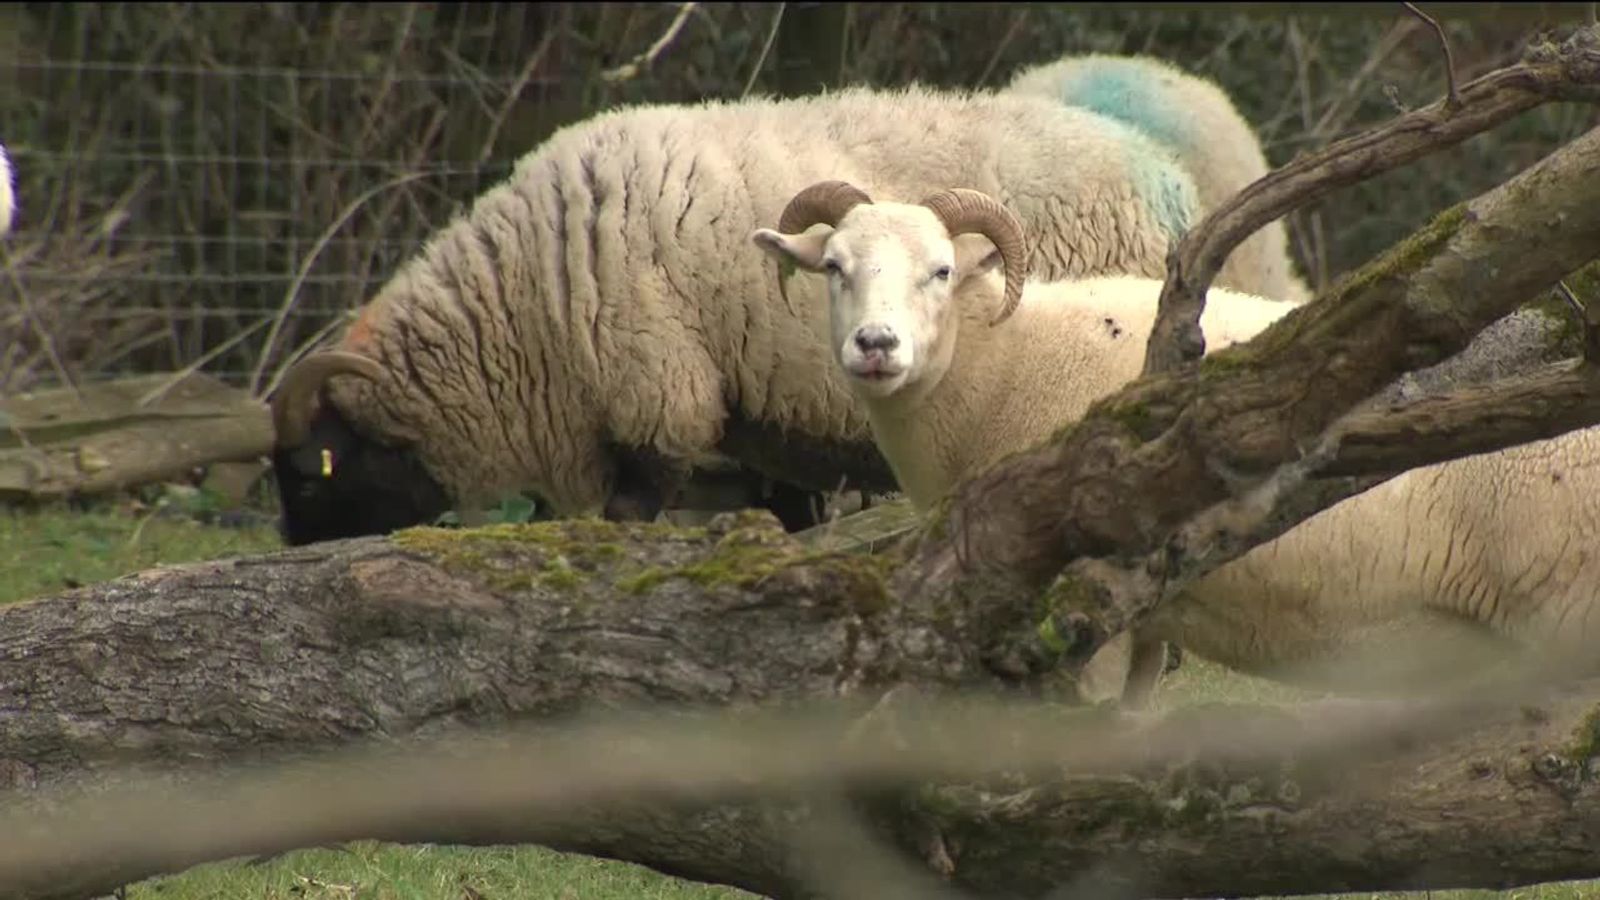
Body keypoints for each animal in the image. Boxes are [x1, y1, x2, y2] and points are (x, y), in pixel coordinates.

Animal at [271, 83, 1237, 546]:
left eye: (308, 475)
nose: (292, 558)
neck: (528, 299)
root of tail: (1168, 179)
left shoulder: (658, 401)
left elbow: (627, 520)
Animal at [750, 180, 1294, 705]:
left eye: (942, 271)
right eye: (833, 266)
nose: (876, 343)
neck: (999, 362)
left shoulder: (1086, 610)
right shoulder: (1148, 624)